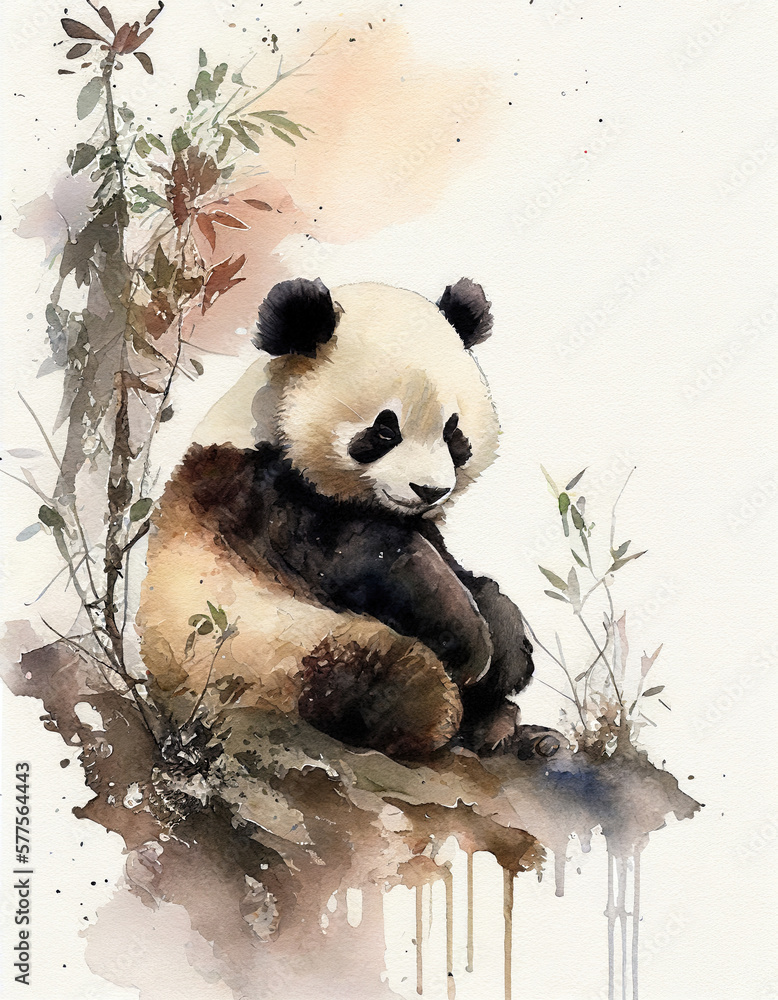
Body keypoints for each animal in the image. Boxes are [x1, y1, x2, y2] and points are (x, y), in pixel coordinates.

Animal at [137, 278, 534, 758]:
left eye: (452, 431)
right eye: (385, 430)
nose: (429, 491)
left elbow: (457, 568)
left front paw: (508, 650)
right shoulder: (260, 497)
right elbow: (368, 558)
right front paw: (471, 646)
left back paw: (502, 728)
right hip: (265, 653)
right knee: (367, 678)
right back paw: (438, 717)